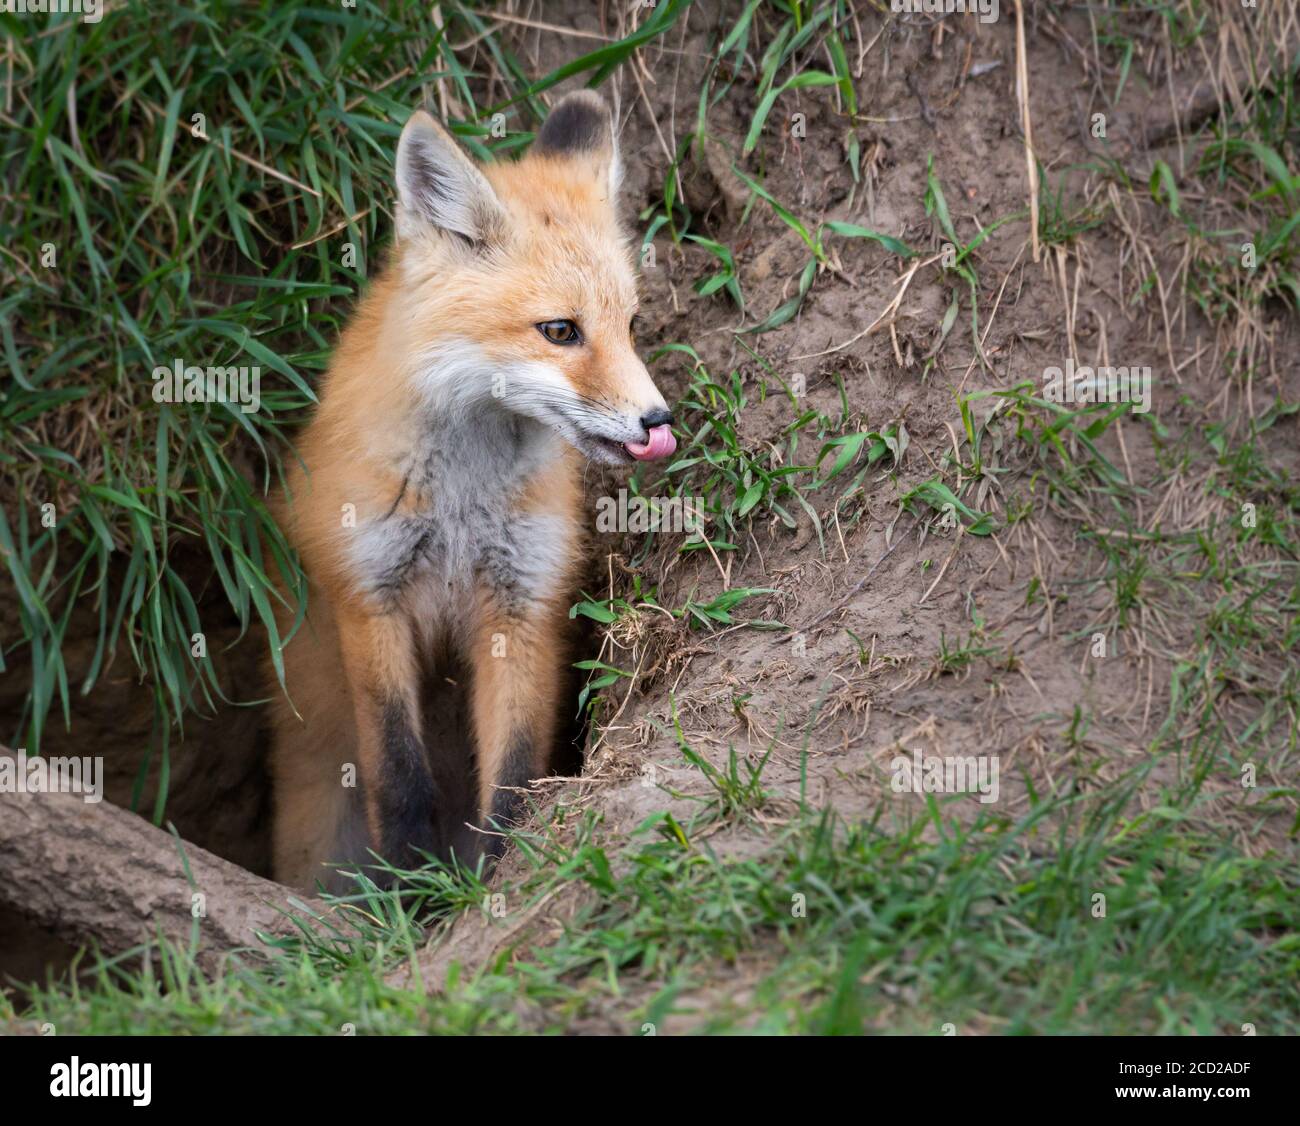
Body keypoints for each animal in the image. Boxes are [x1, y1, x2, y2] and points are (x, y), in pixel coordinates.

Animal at [268, 91, 677, 892]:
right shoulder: (369, 595)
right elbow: (397, 771)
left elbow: (515, 771)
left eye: (631, 324)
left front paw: (502, 868)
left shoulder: (521, 604)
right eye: (560, 331)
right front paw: (406, 890)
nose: (657, 421)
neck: (462, 501)